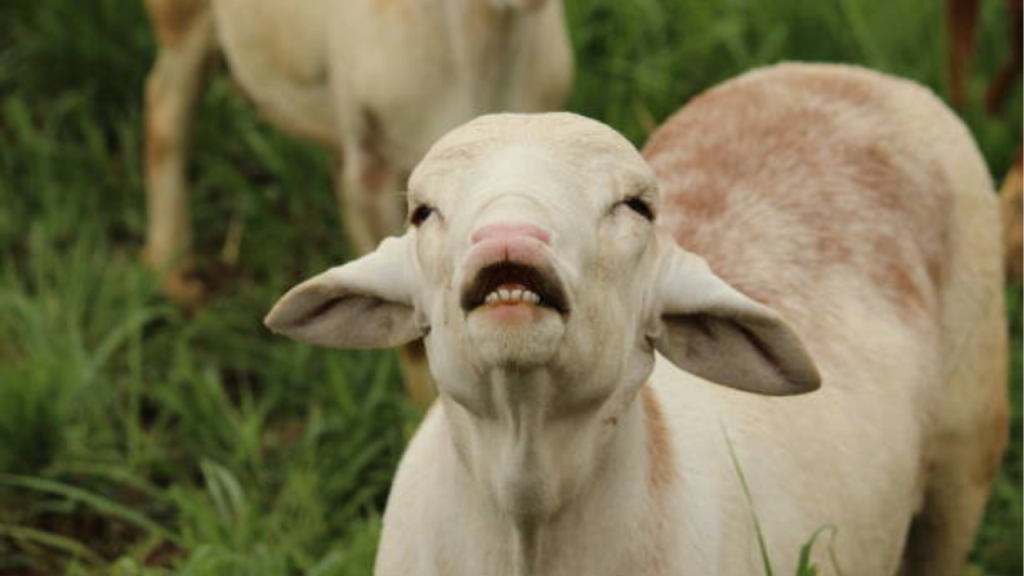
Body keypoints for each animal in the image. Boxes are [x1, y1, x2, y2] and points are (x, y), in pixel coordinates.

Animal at [265, 64, 1008, 576]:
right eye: (423, 211)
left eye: (636, 207)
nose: (508, 238)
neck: (529, 507)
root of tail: (847, 75)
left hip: (966, 449)